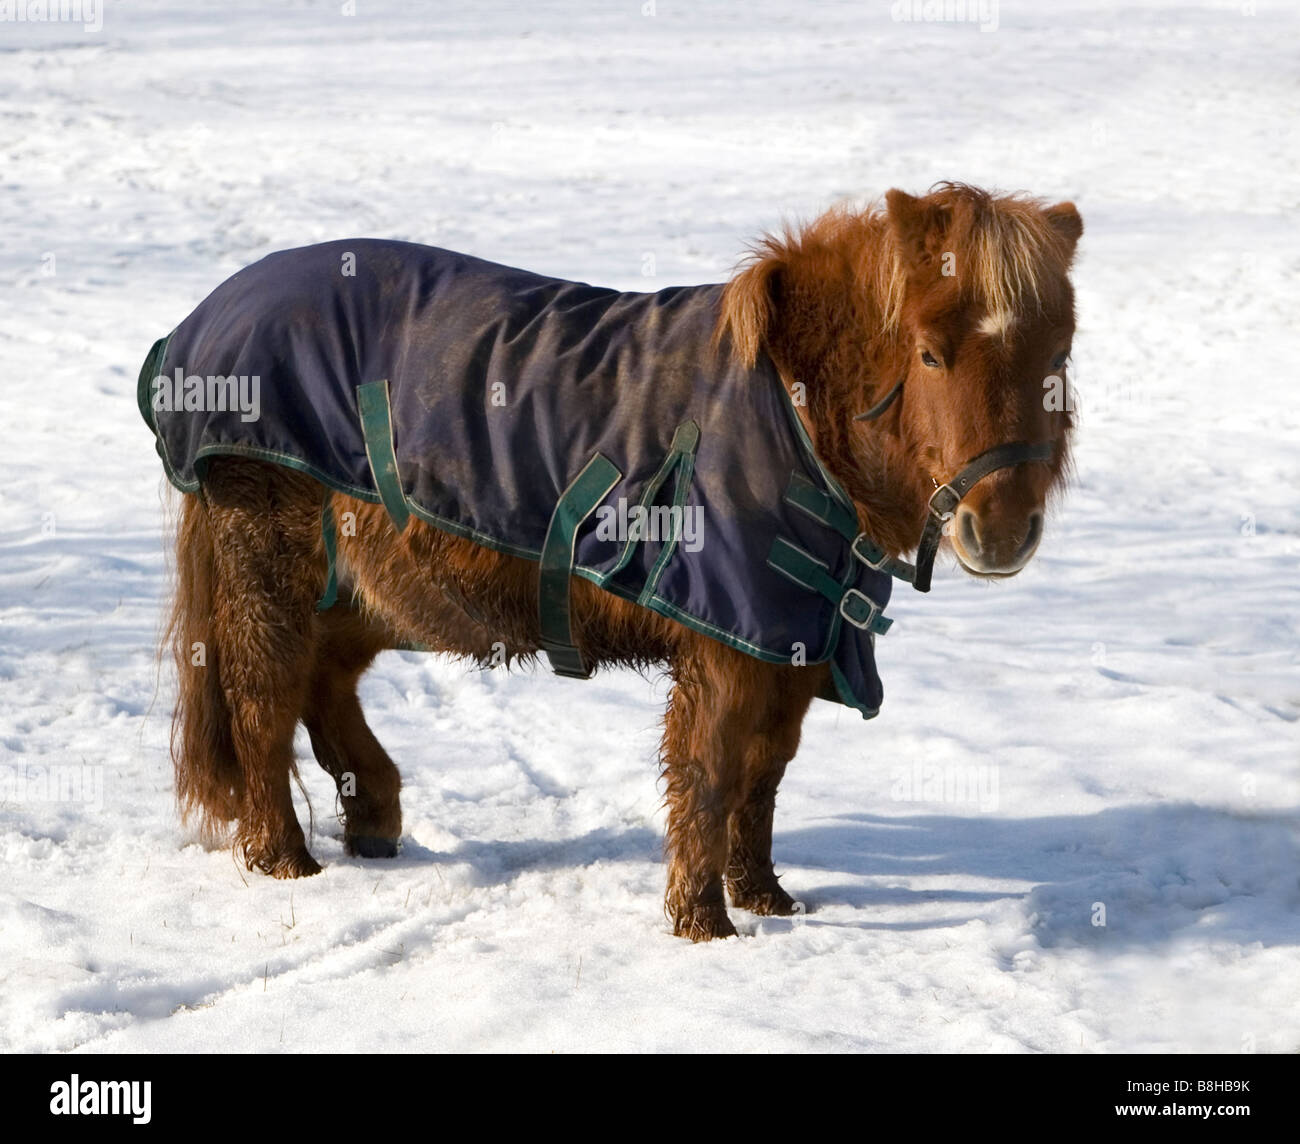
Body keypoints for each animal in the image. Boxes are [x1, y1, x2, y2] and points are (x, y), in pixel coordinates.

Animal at [152, 182, 1081, 941]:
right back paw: (284, 859)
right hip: (271, 564)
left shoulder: (788, 639)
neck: (791, 415)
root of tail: (207, 319)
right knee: (265, 695)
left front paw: (767, 900)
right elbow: (711, 770)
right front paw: (703, 924)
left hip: (365, 589)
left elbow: (764, 774)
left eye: (1058, 357)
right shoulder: (728, 645)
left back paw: (374, 818)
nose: (1001, 529)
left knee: (323, 682)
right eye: (928, 353)